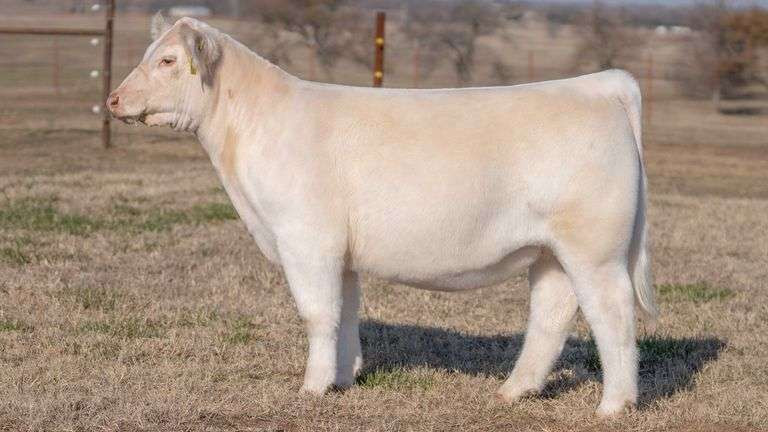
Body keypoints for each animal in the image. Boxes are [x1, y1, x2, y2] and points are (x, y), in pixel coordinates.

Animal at [107, 14, 658, 416]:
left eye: (168, 60)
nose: (113, 99)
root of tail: (600, 84)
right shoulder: (341, 252)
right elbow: (346, 311)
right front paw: (343, 377)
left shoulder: (306, 239)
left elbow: (317, 313)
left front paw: (311, 388)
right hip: (551, 251)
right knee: (552, 313)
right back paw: (513, 391)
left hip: (594, 248)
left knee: (612, 313)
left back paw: (614, 406)